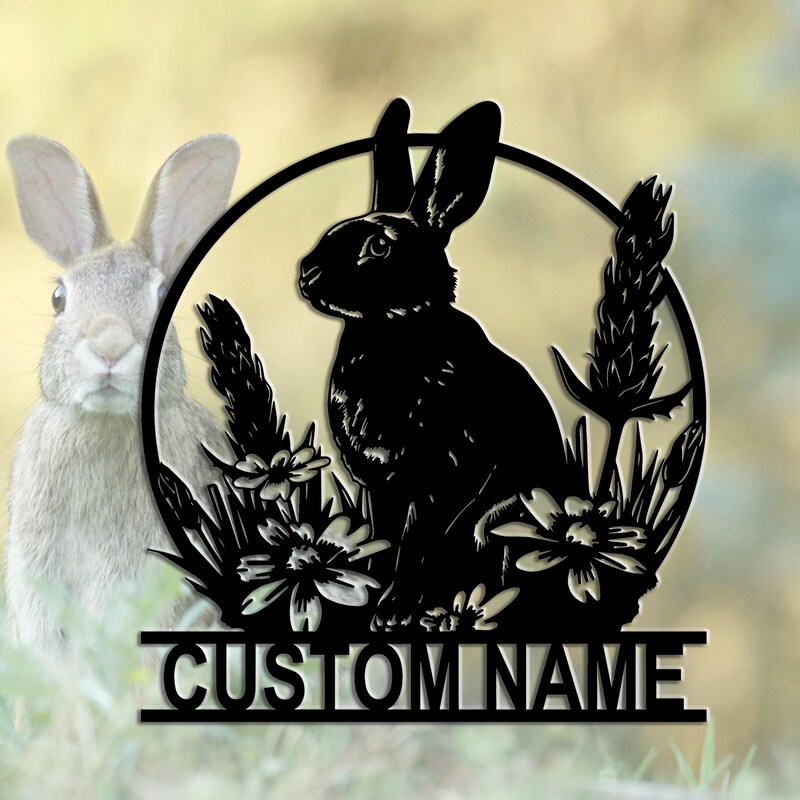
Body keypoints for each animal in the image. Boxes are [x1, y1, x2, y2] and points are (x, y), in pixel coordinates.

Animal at [298, 99, 567, 631]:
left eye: (379, 246)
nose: (307, 273)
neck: (391, 338)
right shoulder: (379, 486)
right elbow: (384, 539)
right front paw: (369, 595)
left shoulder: (438, 482)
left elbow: (416, 544)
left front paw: (395, 610)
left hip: (505, 521)